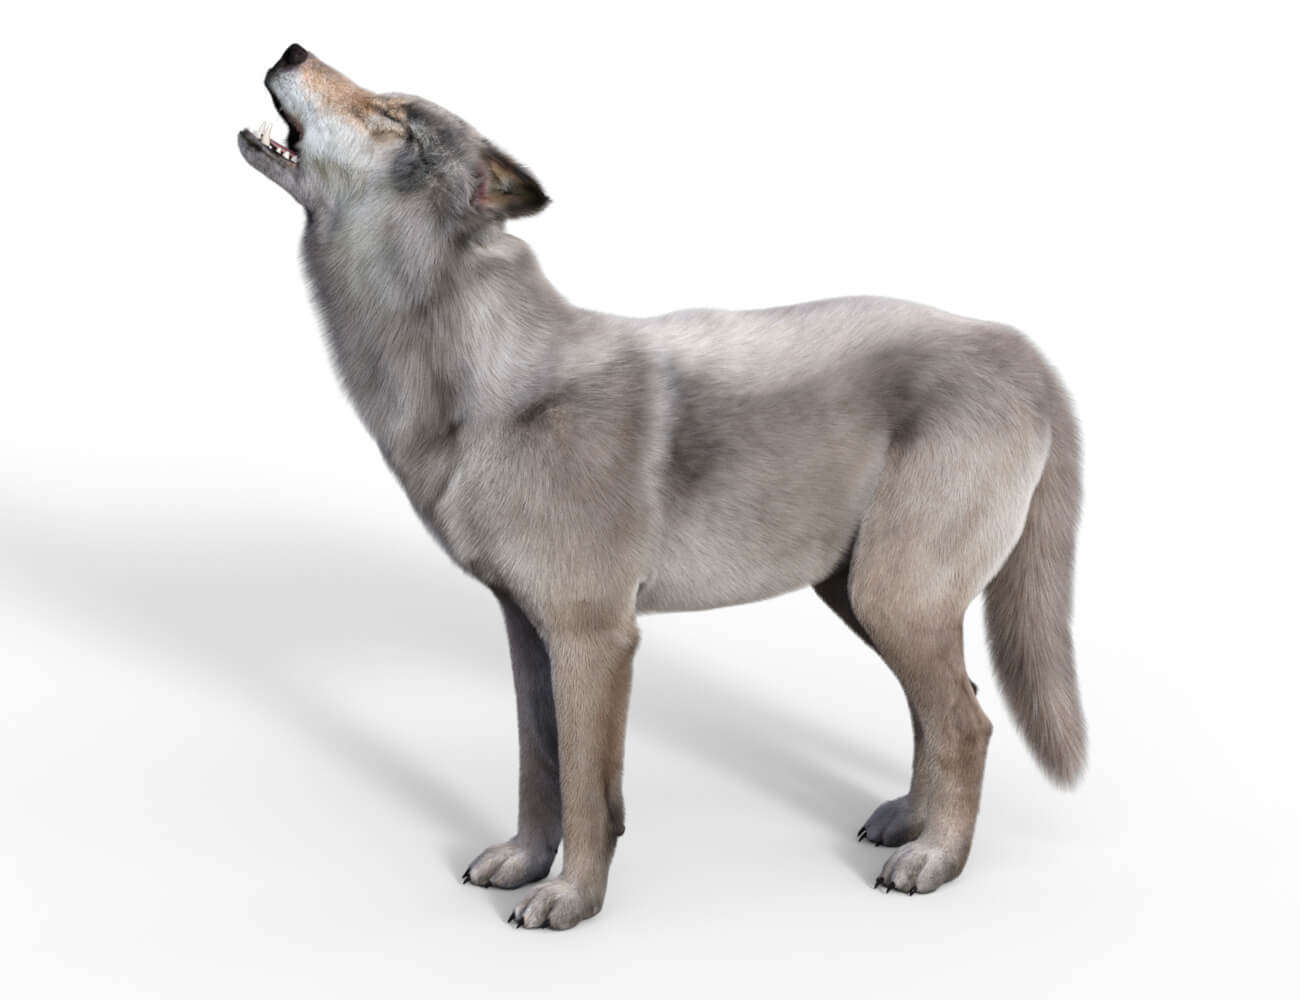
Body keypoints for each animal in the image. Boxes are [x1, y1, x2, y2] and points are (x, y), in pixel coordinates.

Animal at [238, 44, 1085, 930]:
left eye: (395, 116)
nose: (291, 48)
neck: (474, 379)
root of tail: (1025, 352)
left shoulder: (595, 637)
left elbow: (585, 788)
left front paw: (571, 900)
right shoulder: (527, 629)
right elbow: (539, 764)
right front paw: (525, 863)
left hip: (893, 600)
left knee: (968, 724)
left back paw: (936, 859)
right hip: (861, 597)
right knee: (946, 706)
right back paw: (909, 823)